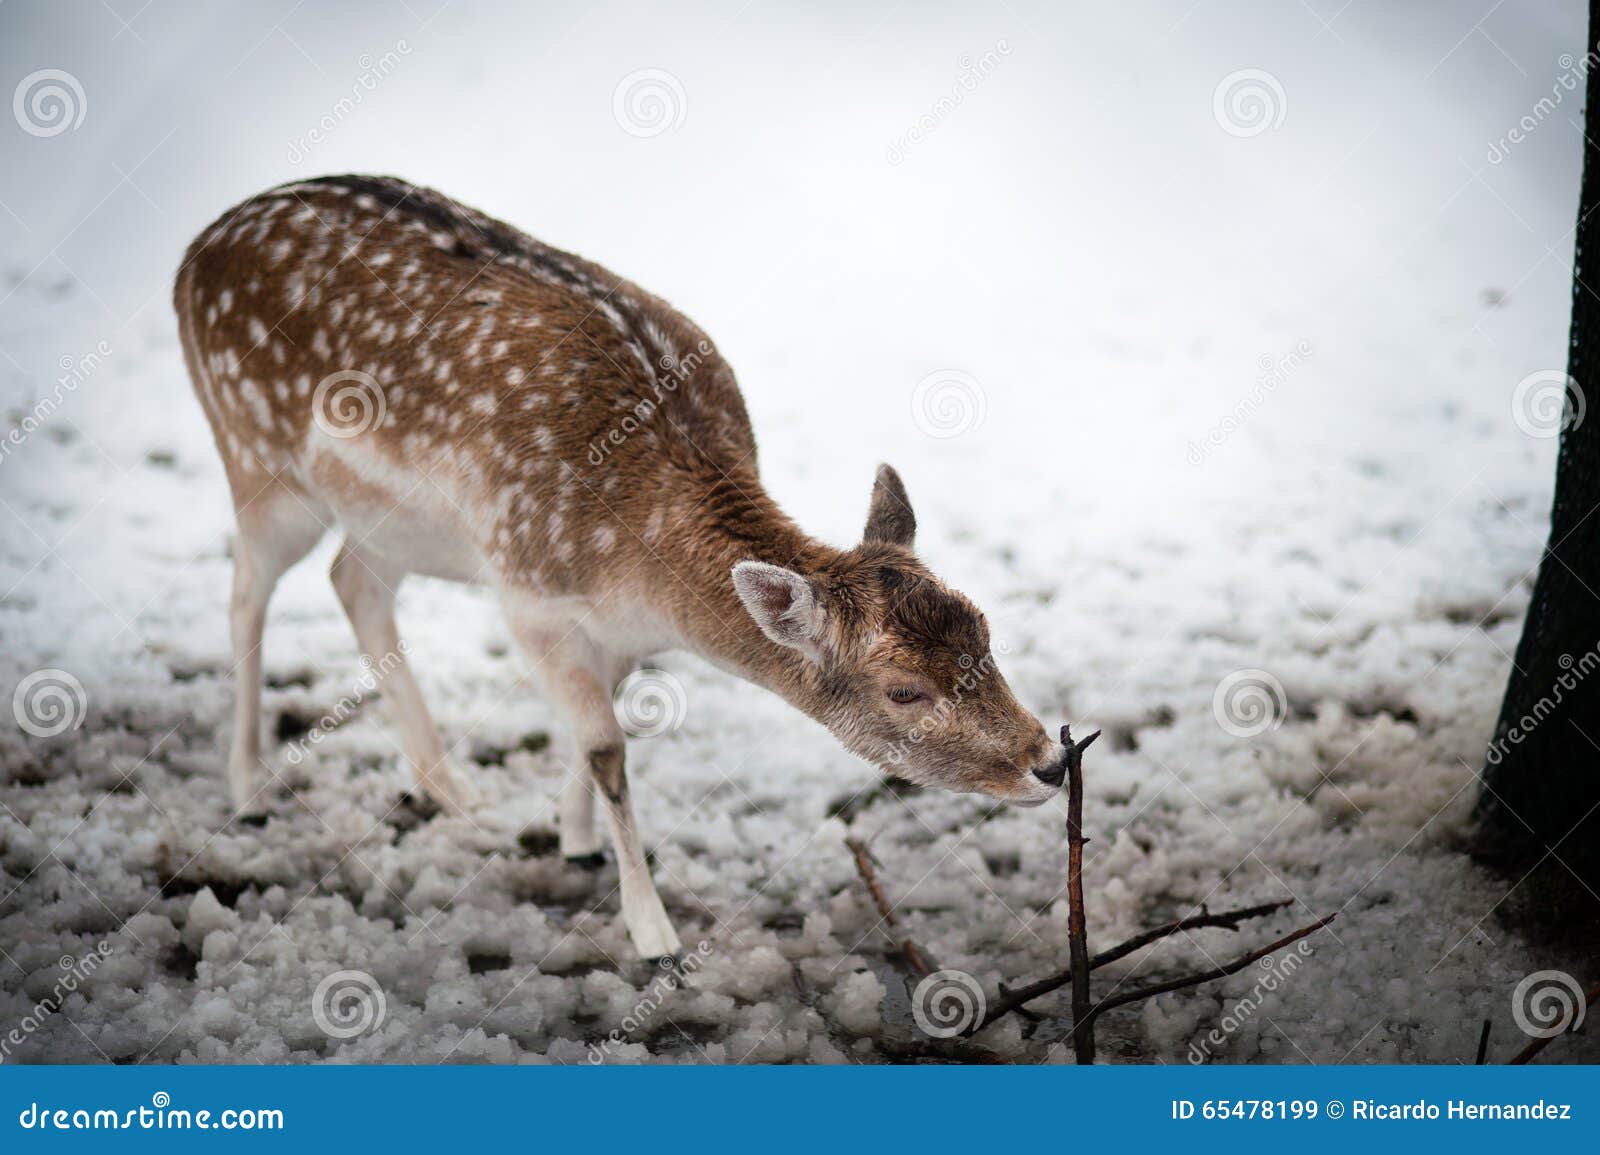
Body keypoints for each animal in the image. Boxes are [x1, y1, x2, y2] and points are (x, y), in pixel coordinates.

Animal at [173, 175, 1069, 959]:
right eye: (904, 691)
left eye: (986, 632)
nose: (1050, 760)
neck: (640, 566)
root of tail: (192, 255)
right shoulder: (526, 593)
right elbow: (606, 746)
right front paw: (651, 929)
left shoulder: (618, 629)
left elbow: (596, 726)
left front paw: (572, 838)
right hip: (256, 455)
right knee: (248, 588)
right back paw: (248, 784)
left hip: (383, 521)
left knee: (350, 581)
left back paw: (455, 791)